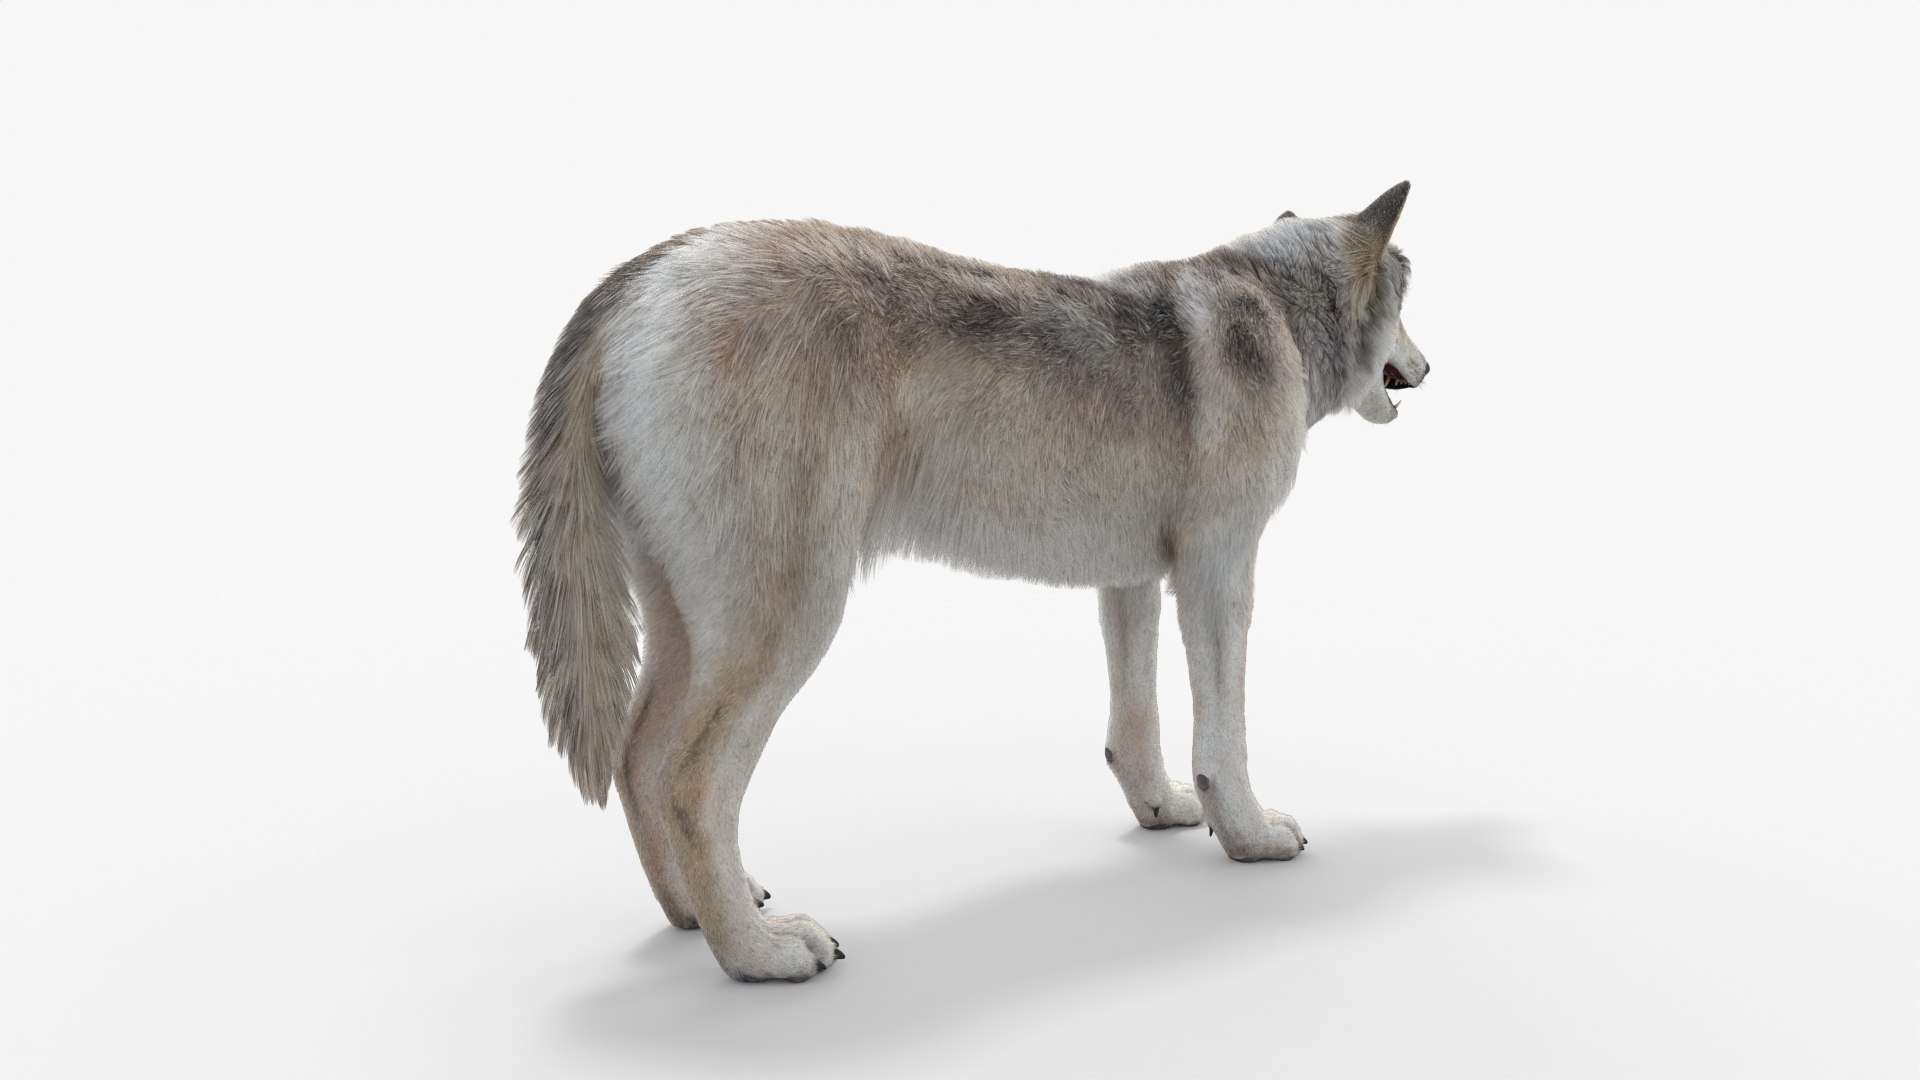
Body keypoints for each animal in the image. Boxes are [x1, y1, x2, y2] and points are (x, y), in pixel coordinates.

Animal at [515, 182, 1429, 982]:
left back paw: (697, 916)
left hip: (693, 631)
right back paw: (755, 955)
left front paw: (1164, 811)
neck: (1274, 311)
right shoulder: (1218, 570)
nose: (1428, 368)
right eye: (1410, 295)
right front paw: (1248, 835)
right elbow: (1223, 738)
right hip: (791, 624)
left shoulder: (1131, 576)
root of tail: (648, 272)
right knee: (689, 784)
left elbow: (1134, 726)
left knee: (637, 759)